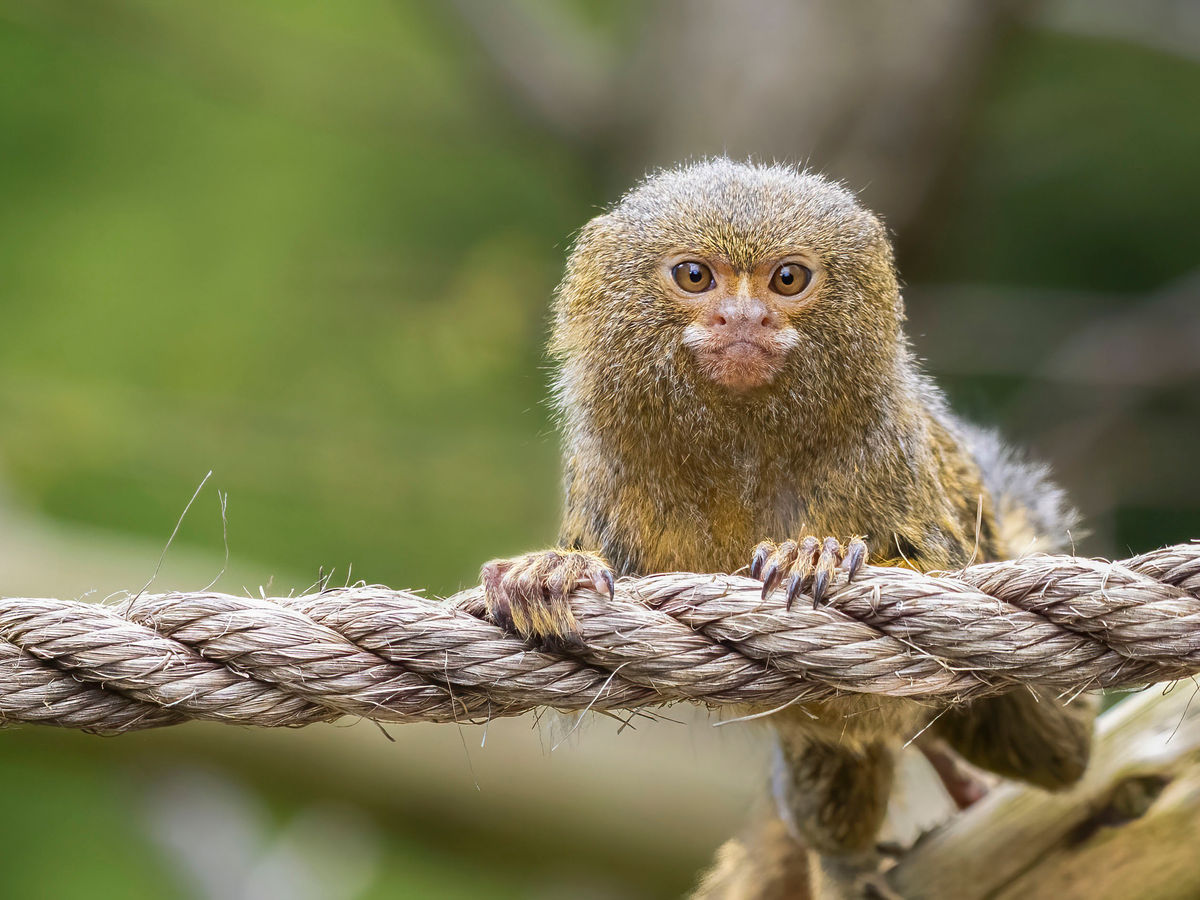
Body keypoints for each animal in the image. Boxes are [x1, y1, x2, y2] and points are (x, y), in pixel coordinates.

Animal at [480, 159, 1094, 898]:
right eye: (695, 276)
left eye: (788, 279)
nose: (745, 317)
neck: (744, 442)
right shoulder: (608, 473)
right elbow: (607, 573)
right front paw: (552, 572)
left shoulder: (889, 461)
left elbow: (941, 572)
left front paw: (813, 554)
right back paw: (847, 853)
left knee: (1060, 751)